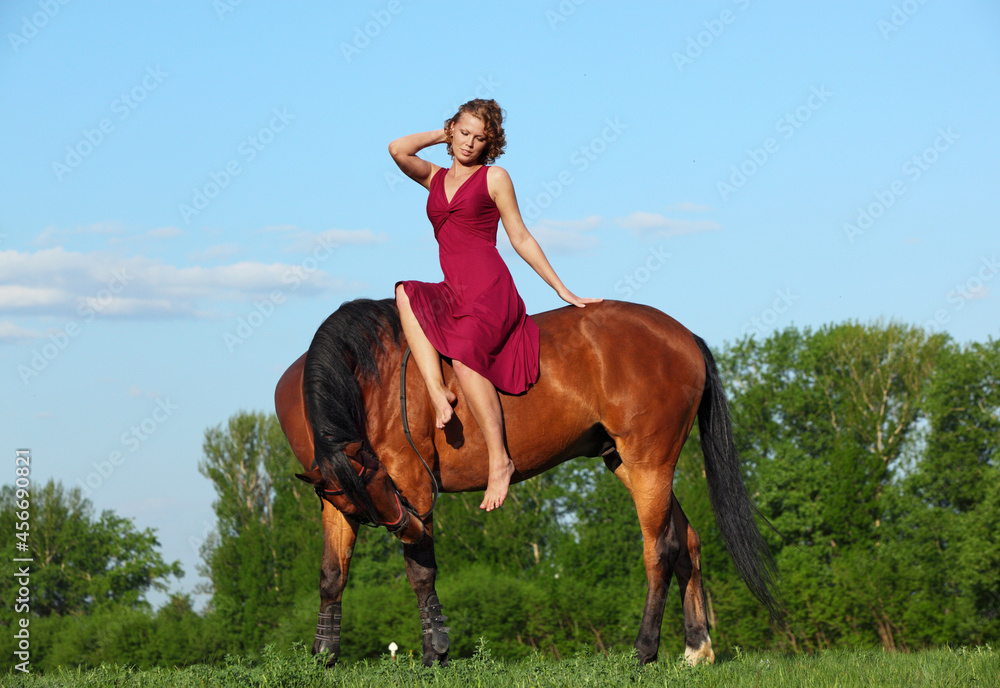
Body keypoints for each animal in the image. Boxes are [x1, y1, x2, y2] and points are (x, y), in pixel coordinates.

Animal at [273, 297, 778, 667]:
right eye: (362, 504)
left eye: (382, 477)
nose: (412, 527)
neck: (368, 375)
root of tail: (683, 336)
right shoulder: (338, 499)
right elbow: (332, 575)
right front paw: (323, 655)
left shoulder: (412, 482)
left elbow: (420, 573)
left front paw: (435, 653)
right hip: (628, 463)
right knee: (688, 541)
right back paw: (697, 648)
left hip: (649, 461)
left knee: (661, 549)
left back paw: (644, 651)